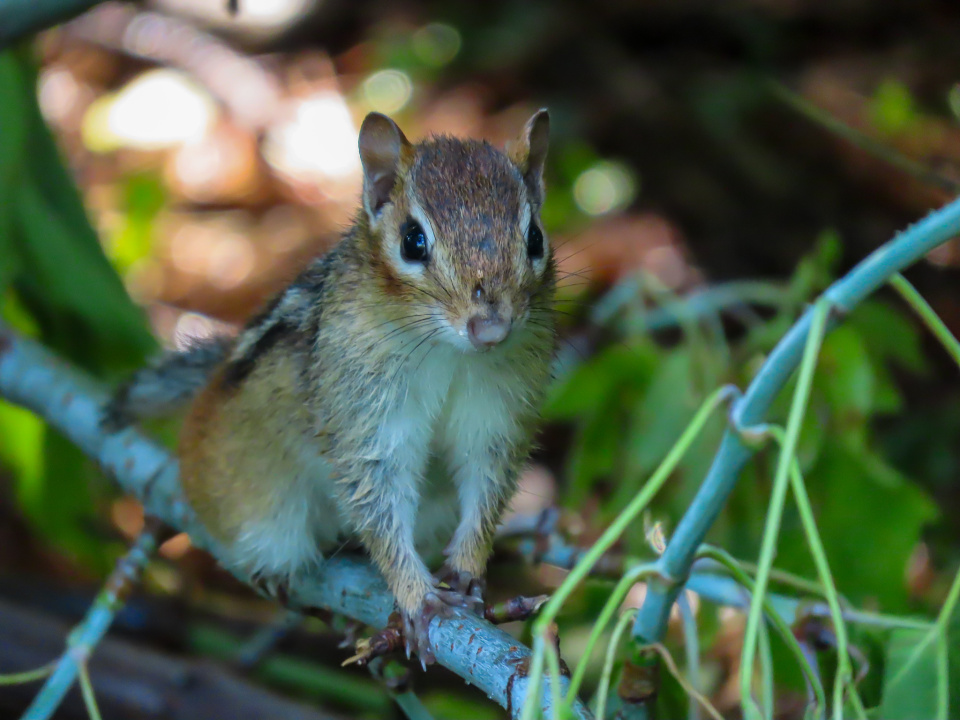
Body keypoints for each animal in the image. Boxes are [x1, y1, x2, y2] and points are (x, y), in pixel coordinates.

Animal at [104, 109, 556, 664]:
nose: (490, 327)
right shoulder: (366, 423)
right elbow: (378, 502)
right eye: (413, 241)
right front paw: (418, 598)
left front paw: (467, 572)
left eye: (534, 238)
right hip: (263, 516)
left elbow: (485, 486)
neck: (449, 354)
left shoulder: (497, 418)